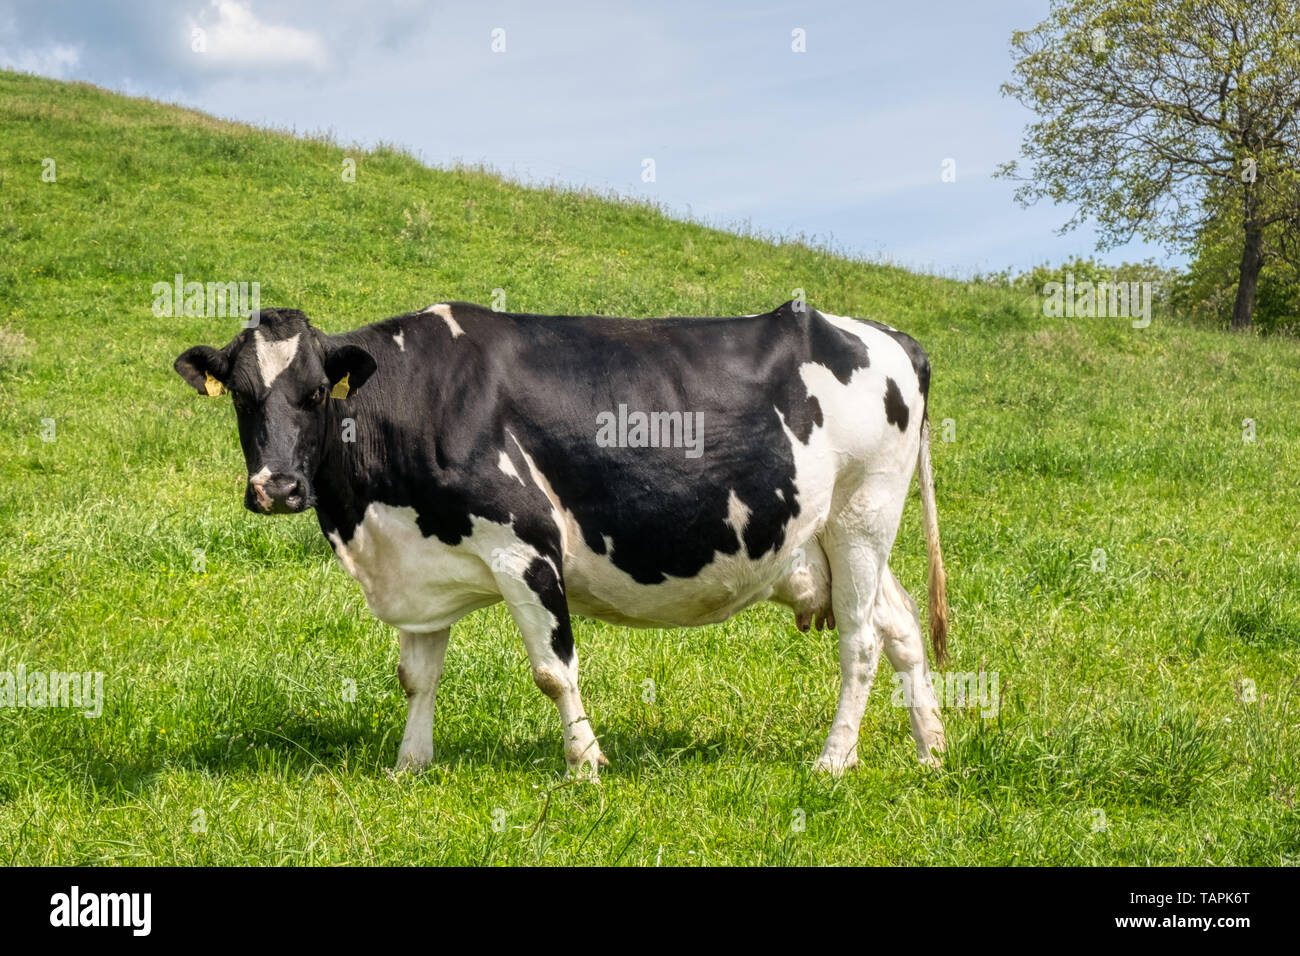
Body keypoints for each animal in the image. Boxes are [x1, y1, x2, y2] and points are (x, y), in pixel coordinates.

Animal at [174, 300, 949, 777]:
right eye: (242, 396)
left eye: (314, 394)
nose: (277, 487)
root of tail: (892, 336)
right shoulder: (422, 563)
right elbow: (416, 676)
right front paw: (408, 766)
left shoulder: (525, 547)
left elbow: (554, 671)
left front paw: (585, 765)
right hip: (836, 537)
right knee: (903, 624)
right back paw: (931, 750)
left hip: (863, 513)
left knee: (861, 639)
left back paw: (835, 759)